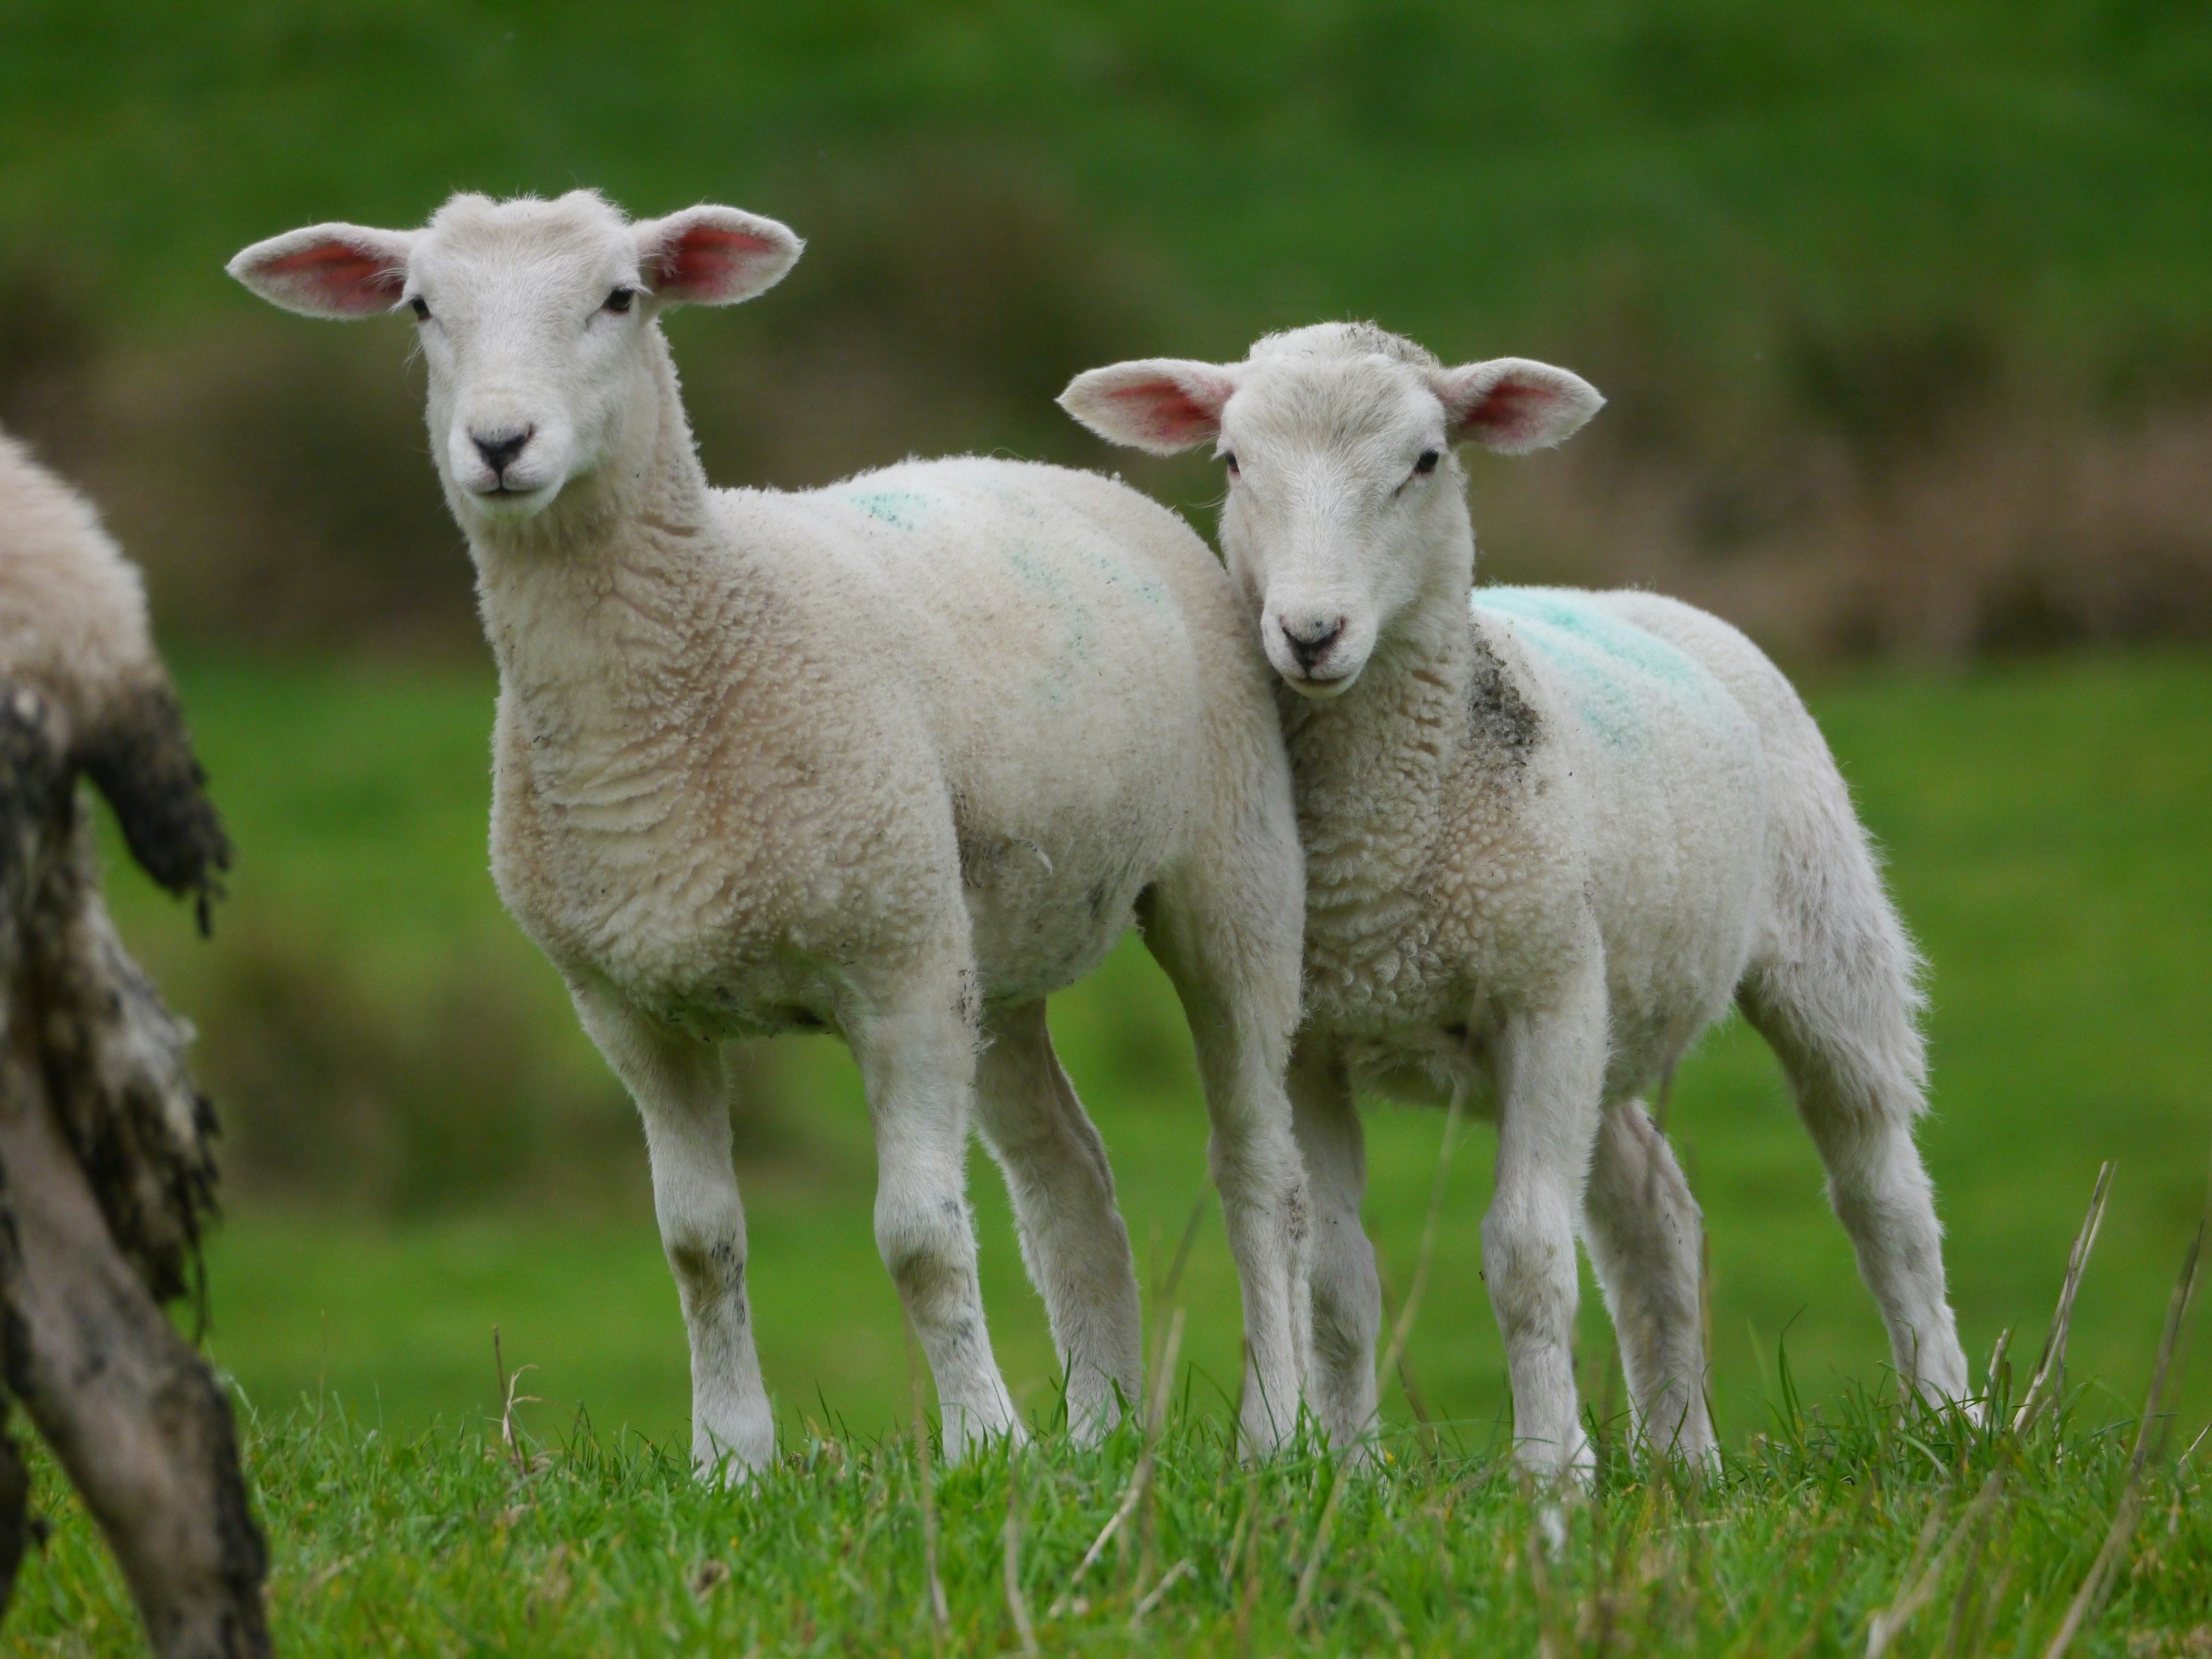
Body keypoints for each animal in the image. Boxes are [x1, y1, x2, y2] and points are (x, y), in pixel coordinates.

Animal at [227, 190, 1315, 1475]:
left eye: (620, 297)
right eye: (420, 308)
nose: (497, 443)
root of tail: (1053, 467)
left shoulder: (898, 973)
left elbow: (920, 1235)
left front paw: (983, 1446)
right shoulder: (627, 1007)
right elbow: (699, 1240)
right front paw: (732, 1461)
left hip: (1227, 871)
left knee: (1259, 1167)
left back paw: (1281, 1430)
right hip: (985, 944)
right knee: (1069, 1178)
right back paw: (1097, 1432)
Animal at [1061, 322, 1972, 1478]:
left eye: (1424, 462)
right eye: (1230, 462)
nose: (1310, 633)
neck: (1385, 852)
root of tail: (1628, 593)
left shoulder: (1543, 1000)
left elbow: (1527, 1254)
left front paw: (1552, 1471)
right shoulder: (1314, 1039)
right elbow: (1337, 1278)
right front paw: (1349, 1472)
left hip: (1816, 941)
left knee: (1882, 1193)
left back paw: (1952, 1417)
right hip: (1607, 1002)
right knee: (1657, 1211)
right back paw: (1684, 1460)